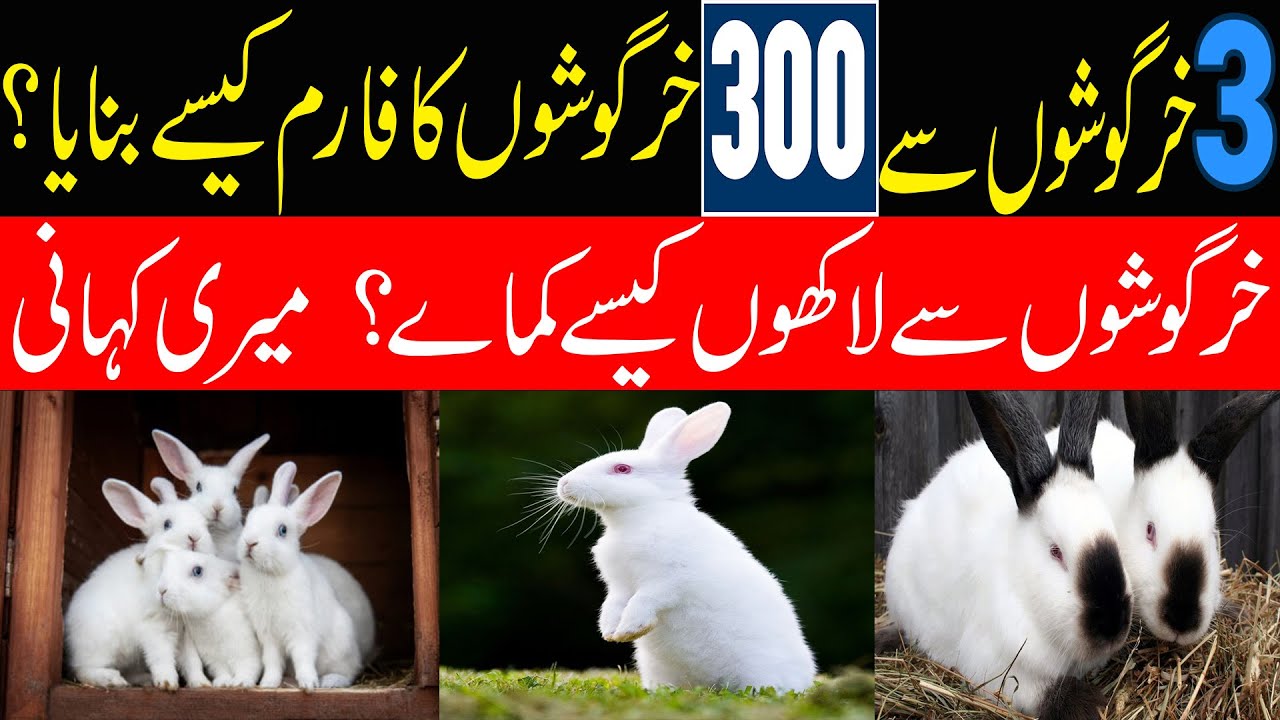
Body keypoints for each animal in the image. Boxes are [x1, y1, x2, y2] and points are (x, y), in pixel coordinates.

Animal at [64, 477, 216, 689]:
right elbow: (161, 657)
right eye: (167, 524)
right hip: (101, 641)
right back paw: (111, 679)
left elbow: (192, 662)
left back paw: (143, 680)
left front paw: (201, 684)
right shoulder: (154, 628)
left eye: (205, 525)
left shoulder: (186, 634)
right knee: (82, 669)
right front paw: (167, 683)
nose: (195, 537)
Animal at [143, 544, 264, 687]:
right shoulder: (214, 660)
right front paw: (222, 683)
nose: (162, 590)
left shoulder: (247, 653)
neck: (211, 615)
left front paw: (240, 682)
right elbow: (222, 671)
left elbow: (248, 668)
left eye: (198, 571)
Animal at [238, 462, 376, 690]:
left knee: (349, 671)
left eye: (282, 530)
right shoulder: (269, 637)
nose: (250, 542)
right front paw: (268, 684)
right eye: (248, 521)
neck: (269, 575)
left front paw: (308, 684)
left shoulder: (302, 631)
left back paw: (329, 681)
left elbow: (303, 657)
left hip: (342, 645)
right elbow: (272, 661)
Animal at [552, 401, 817, 694]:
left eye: (622, 469)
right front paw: (610, 632)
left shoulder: (669, 580)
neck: (640, 517)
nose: (564, 484)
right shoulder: (618, 585)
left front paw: (629, 629)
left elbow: (645, 600)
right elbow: (613, 604)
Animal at [881, 391, 1132, 719]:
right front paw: (1091, 704)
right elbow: (1045, 692)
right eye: (1056, 552)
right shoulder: (999, 669)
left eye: (1113, 531)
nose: (1113, 623)